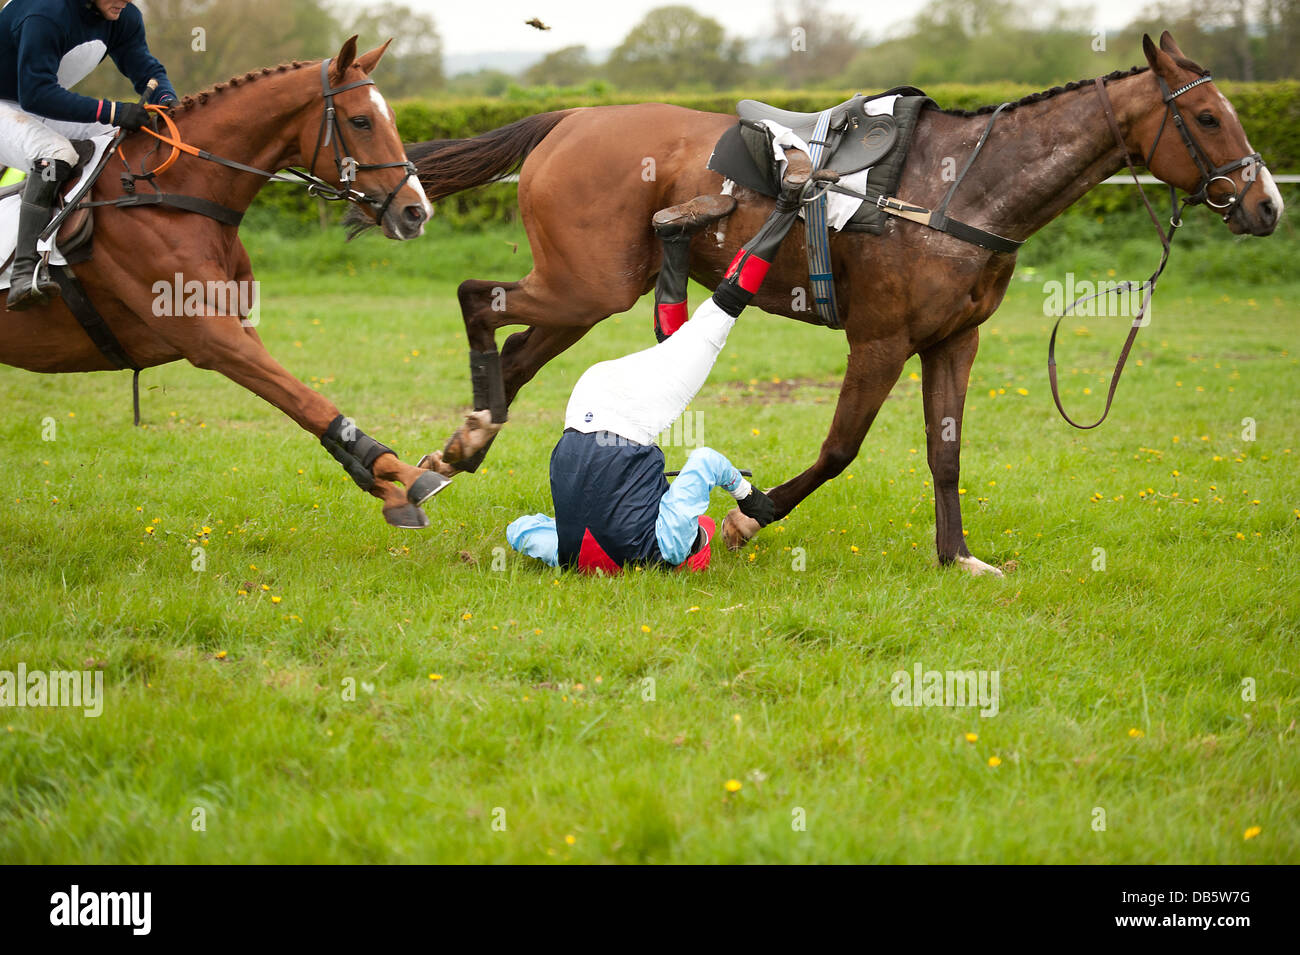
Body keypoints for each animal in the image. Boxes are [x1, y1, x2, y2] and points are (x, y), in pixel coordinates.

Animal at [0, 38, 448, 529]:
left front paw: (386, 488)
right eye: (361, 121)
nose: (417, 212)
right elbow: (307, 400)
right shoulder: (208, 336)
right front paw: (405, 474)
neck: (170, 196)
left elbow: (297, 400)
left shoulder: (237, 326)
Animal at [411, 32, 1283, 574]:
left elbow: (945, 452)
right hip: (586, 283)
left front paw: (957, 555)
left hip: (586, 295)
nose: (1267, 203)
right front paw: (747, 515)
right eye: (1208, 116)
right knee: (477, 299)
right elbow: (838, 450)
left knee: (516, 352)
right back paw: (466, 436)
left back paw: (455, 451)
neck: (956, 189)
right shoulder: (881, 341)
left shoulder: (953, 341)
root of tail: (570, 119)